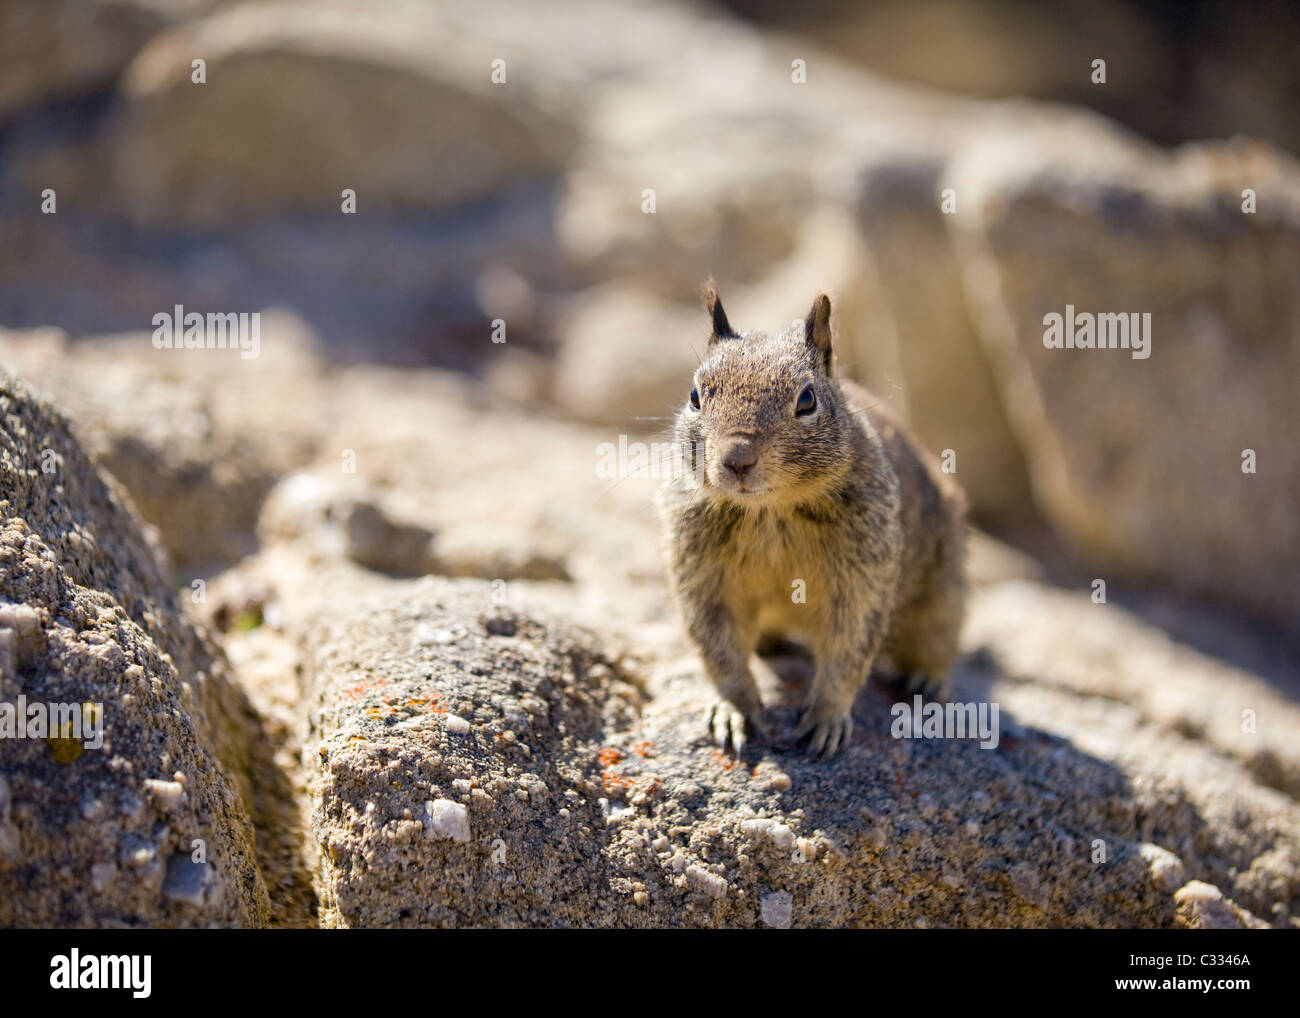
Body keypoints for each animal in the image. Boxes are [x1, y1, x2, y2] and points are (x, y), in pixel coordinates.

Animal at [656, 281, 967, 758]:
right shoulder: (701, 572)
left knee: (939, 637)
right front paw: (735, 711)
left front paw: (827, 719)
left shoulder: (862, 578)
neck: (770, 511)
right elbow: (718, 647)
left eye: (807, 400)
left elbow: (848, 649)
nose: (737, 459)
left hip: (944, 587)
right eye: (694, 396)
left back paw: (929, 681)